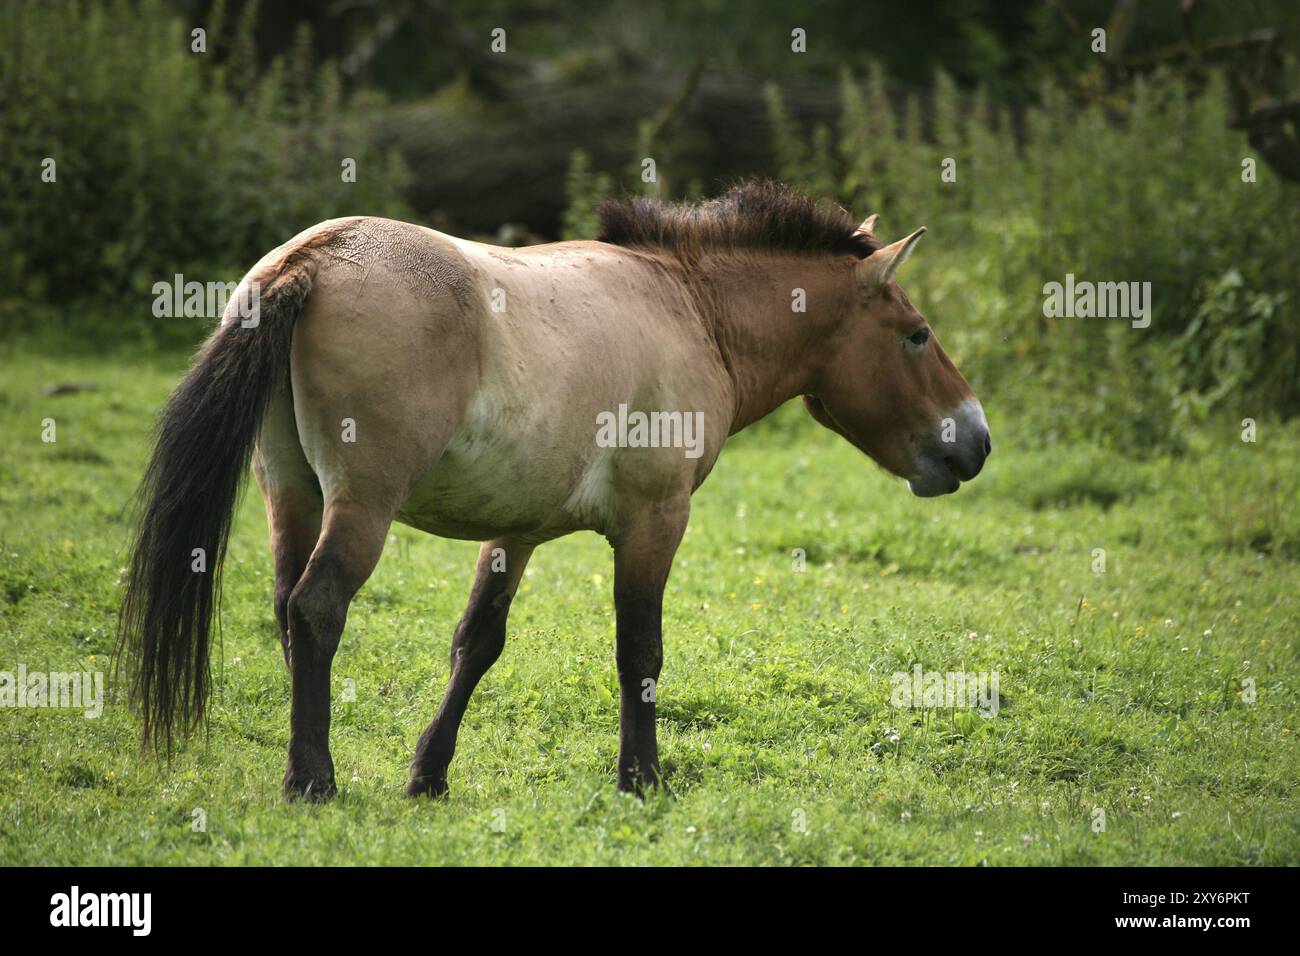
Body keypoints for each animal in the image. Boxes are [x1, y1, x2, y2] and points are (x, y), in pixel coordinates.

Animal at [117, 181, 990, 801]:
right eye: (916, 335)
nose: (976, 440)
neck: (689, 308)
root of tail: (312, 259)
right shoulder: (654, 520)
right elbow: (640, 650)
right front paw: (642, 778)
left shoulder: (518, 530)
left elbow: (477, 642)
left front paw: (429, 774)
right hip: (361, 505)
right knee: (317, 607)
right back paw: (312, 779)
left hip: (291, 494)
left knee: (286, 609)